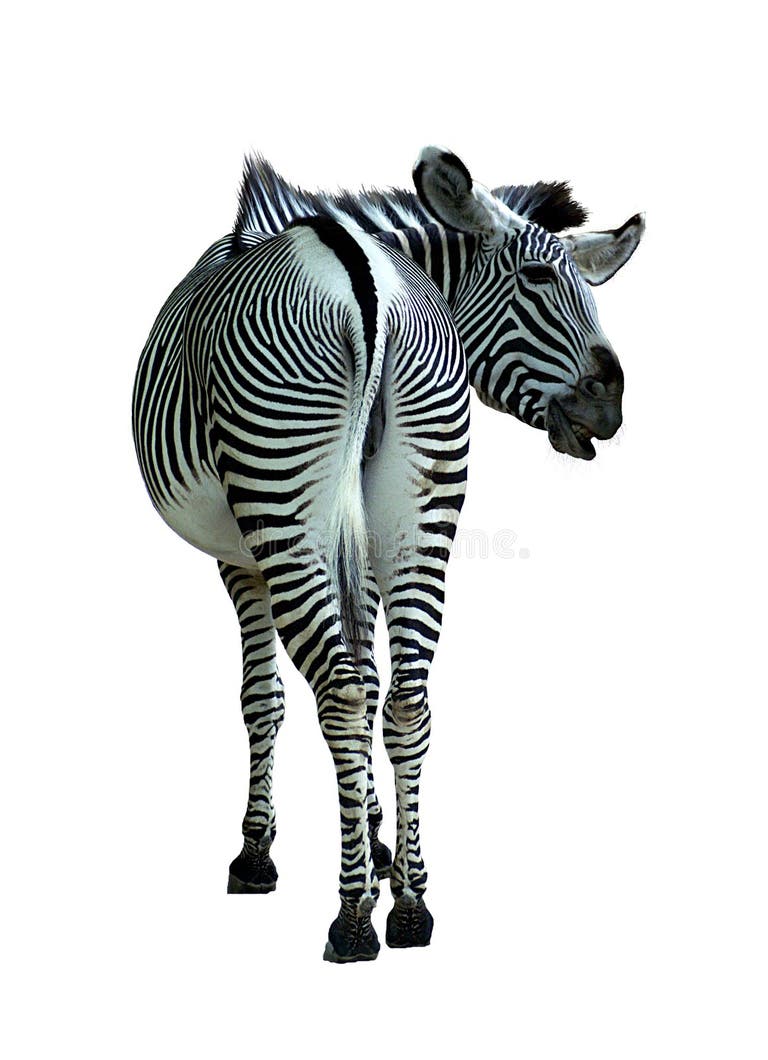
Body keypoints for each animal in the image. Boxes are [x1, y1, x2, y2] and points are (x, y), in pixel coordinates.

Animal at [132, 146, 643, 962]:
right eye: (536, 280)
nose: (612, 404)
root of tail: (365, 280)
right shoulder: (355, 547)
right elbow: (371, 680)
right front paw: (380, 844)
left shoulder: (242, 559)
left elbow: (264, 698)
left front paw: (263, 851)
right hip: (419, 502)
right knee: (405, 700)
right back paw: (410, 905)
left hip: (285, 494)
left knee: (340, 696)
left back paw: (349, 918)